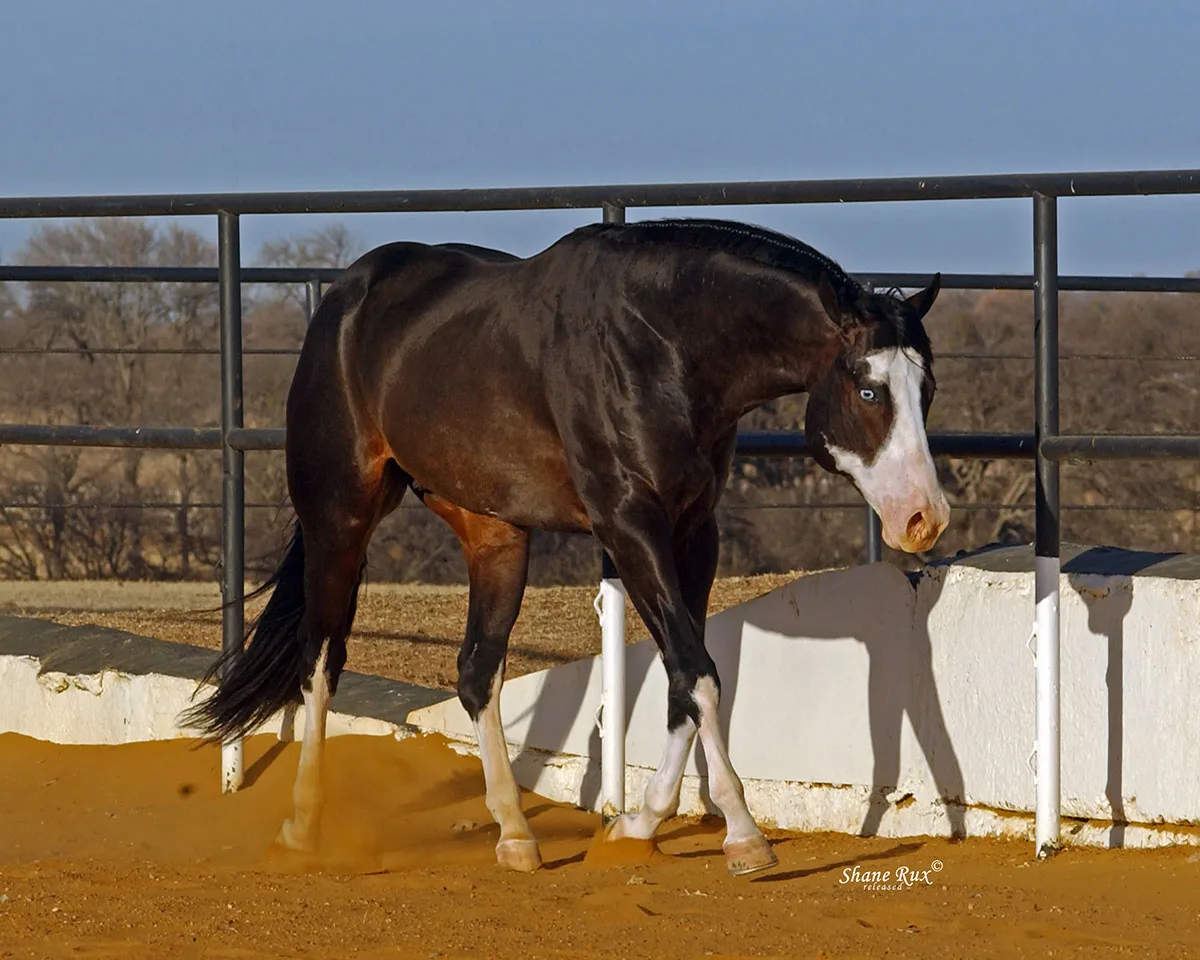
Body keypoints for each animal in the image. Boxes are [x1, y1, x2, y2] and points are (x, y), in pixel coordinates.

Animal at [183, 217, 948, 877]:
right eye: (870, 389)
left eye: (927, 389)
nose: (924, 519)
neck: (660, 344)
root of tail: (345, 299)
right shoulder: (629, 525)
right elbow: (697, 674)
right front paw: (743, 835)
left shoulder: (694, 533)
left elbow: (686, 680)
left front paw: (638, 826)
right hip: (339, 518)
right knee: (321, 661)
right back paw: (302, 828)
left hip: (495, 537)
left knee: (476, 672)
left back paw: (515, 836)